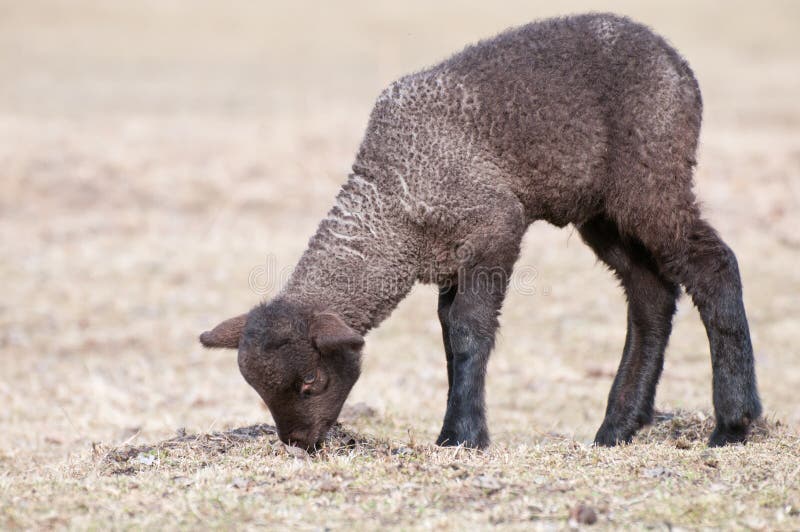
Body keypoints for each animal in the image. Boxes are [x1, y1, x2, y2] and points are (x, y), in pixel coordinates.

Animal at [200, 13, 761, 450]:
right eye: (260, 392)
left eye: (312, 382)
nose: (299, 443)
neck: (392, 199)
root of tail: (677, 61)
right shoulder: (451, 258)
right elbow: (449, 335)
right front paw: (455, 426)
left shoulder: (494, 227)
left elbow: (470, 330)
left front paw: (463, 436)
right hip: (603, 210)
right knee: (651, 296)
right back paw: (618, 427)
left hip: (652, 177)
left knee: (713, 265)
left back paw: (733, 422)